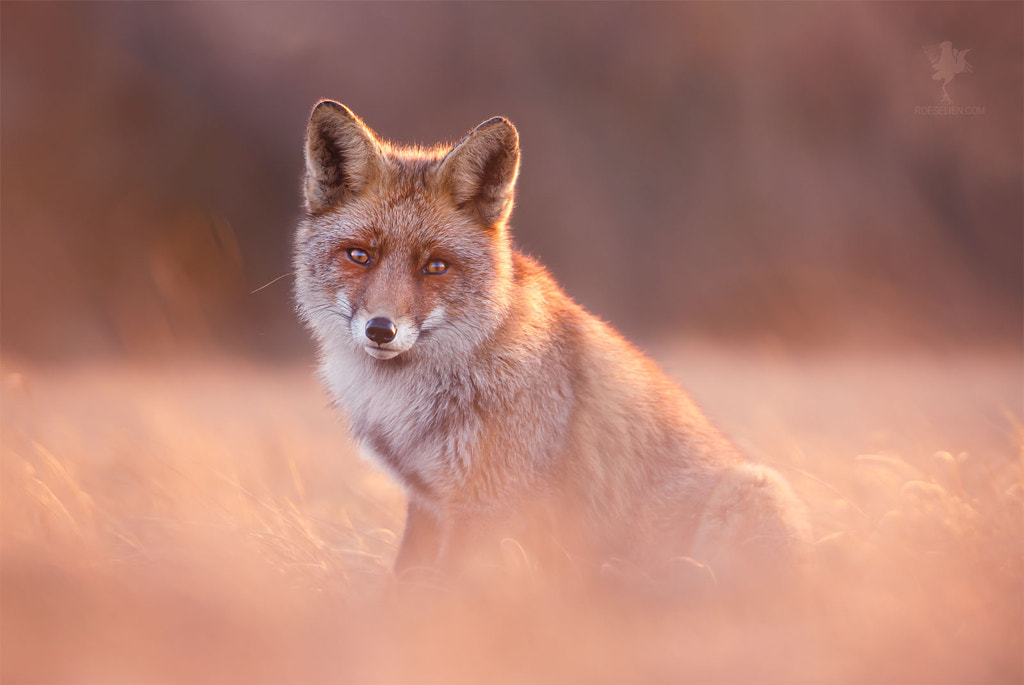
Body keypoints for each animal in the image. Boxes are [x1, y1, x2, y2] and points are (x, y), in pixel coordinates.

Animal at [293, 100, 810, 588]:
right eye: (360, 255)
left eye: (435, 266)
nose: (381, 330)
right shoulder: (429, 502)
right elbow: (404, 584)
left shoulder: (484, 504)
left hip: (753, 490)